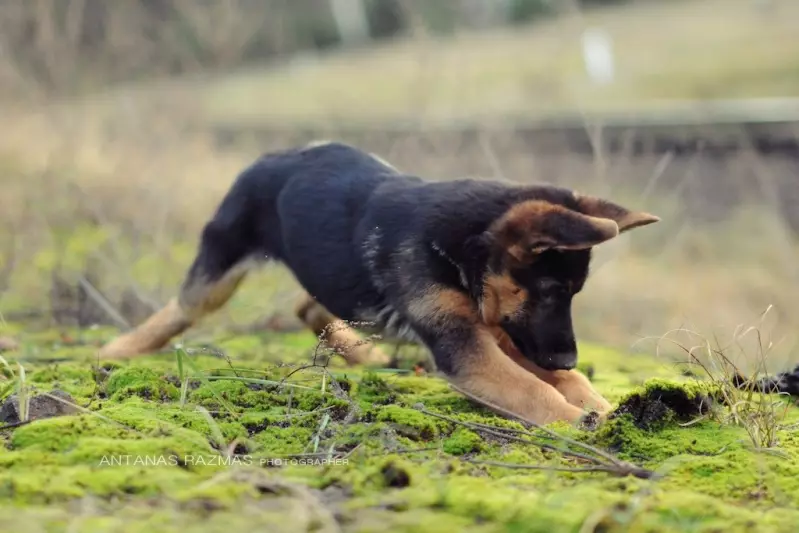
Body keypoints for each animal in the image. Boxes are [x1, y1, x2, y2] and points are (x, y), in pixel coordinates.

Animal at [98, 140, 664, 424]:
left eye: (571, 294)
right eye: (550, 292)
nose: (566, 356)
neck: (460, 246)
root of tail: (274, 154)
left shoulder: (496, 330)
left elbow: (568, 382)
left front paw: (599, 404)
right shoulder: (470, 347)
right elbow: (534, 390)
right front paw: (582, 422)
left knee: (309, 307)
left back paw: (363, 353)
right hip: (217, 274)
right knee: (180, 309)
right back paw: (117, 350)